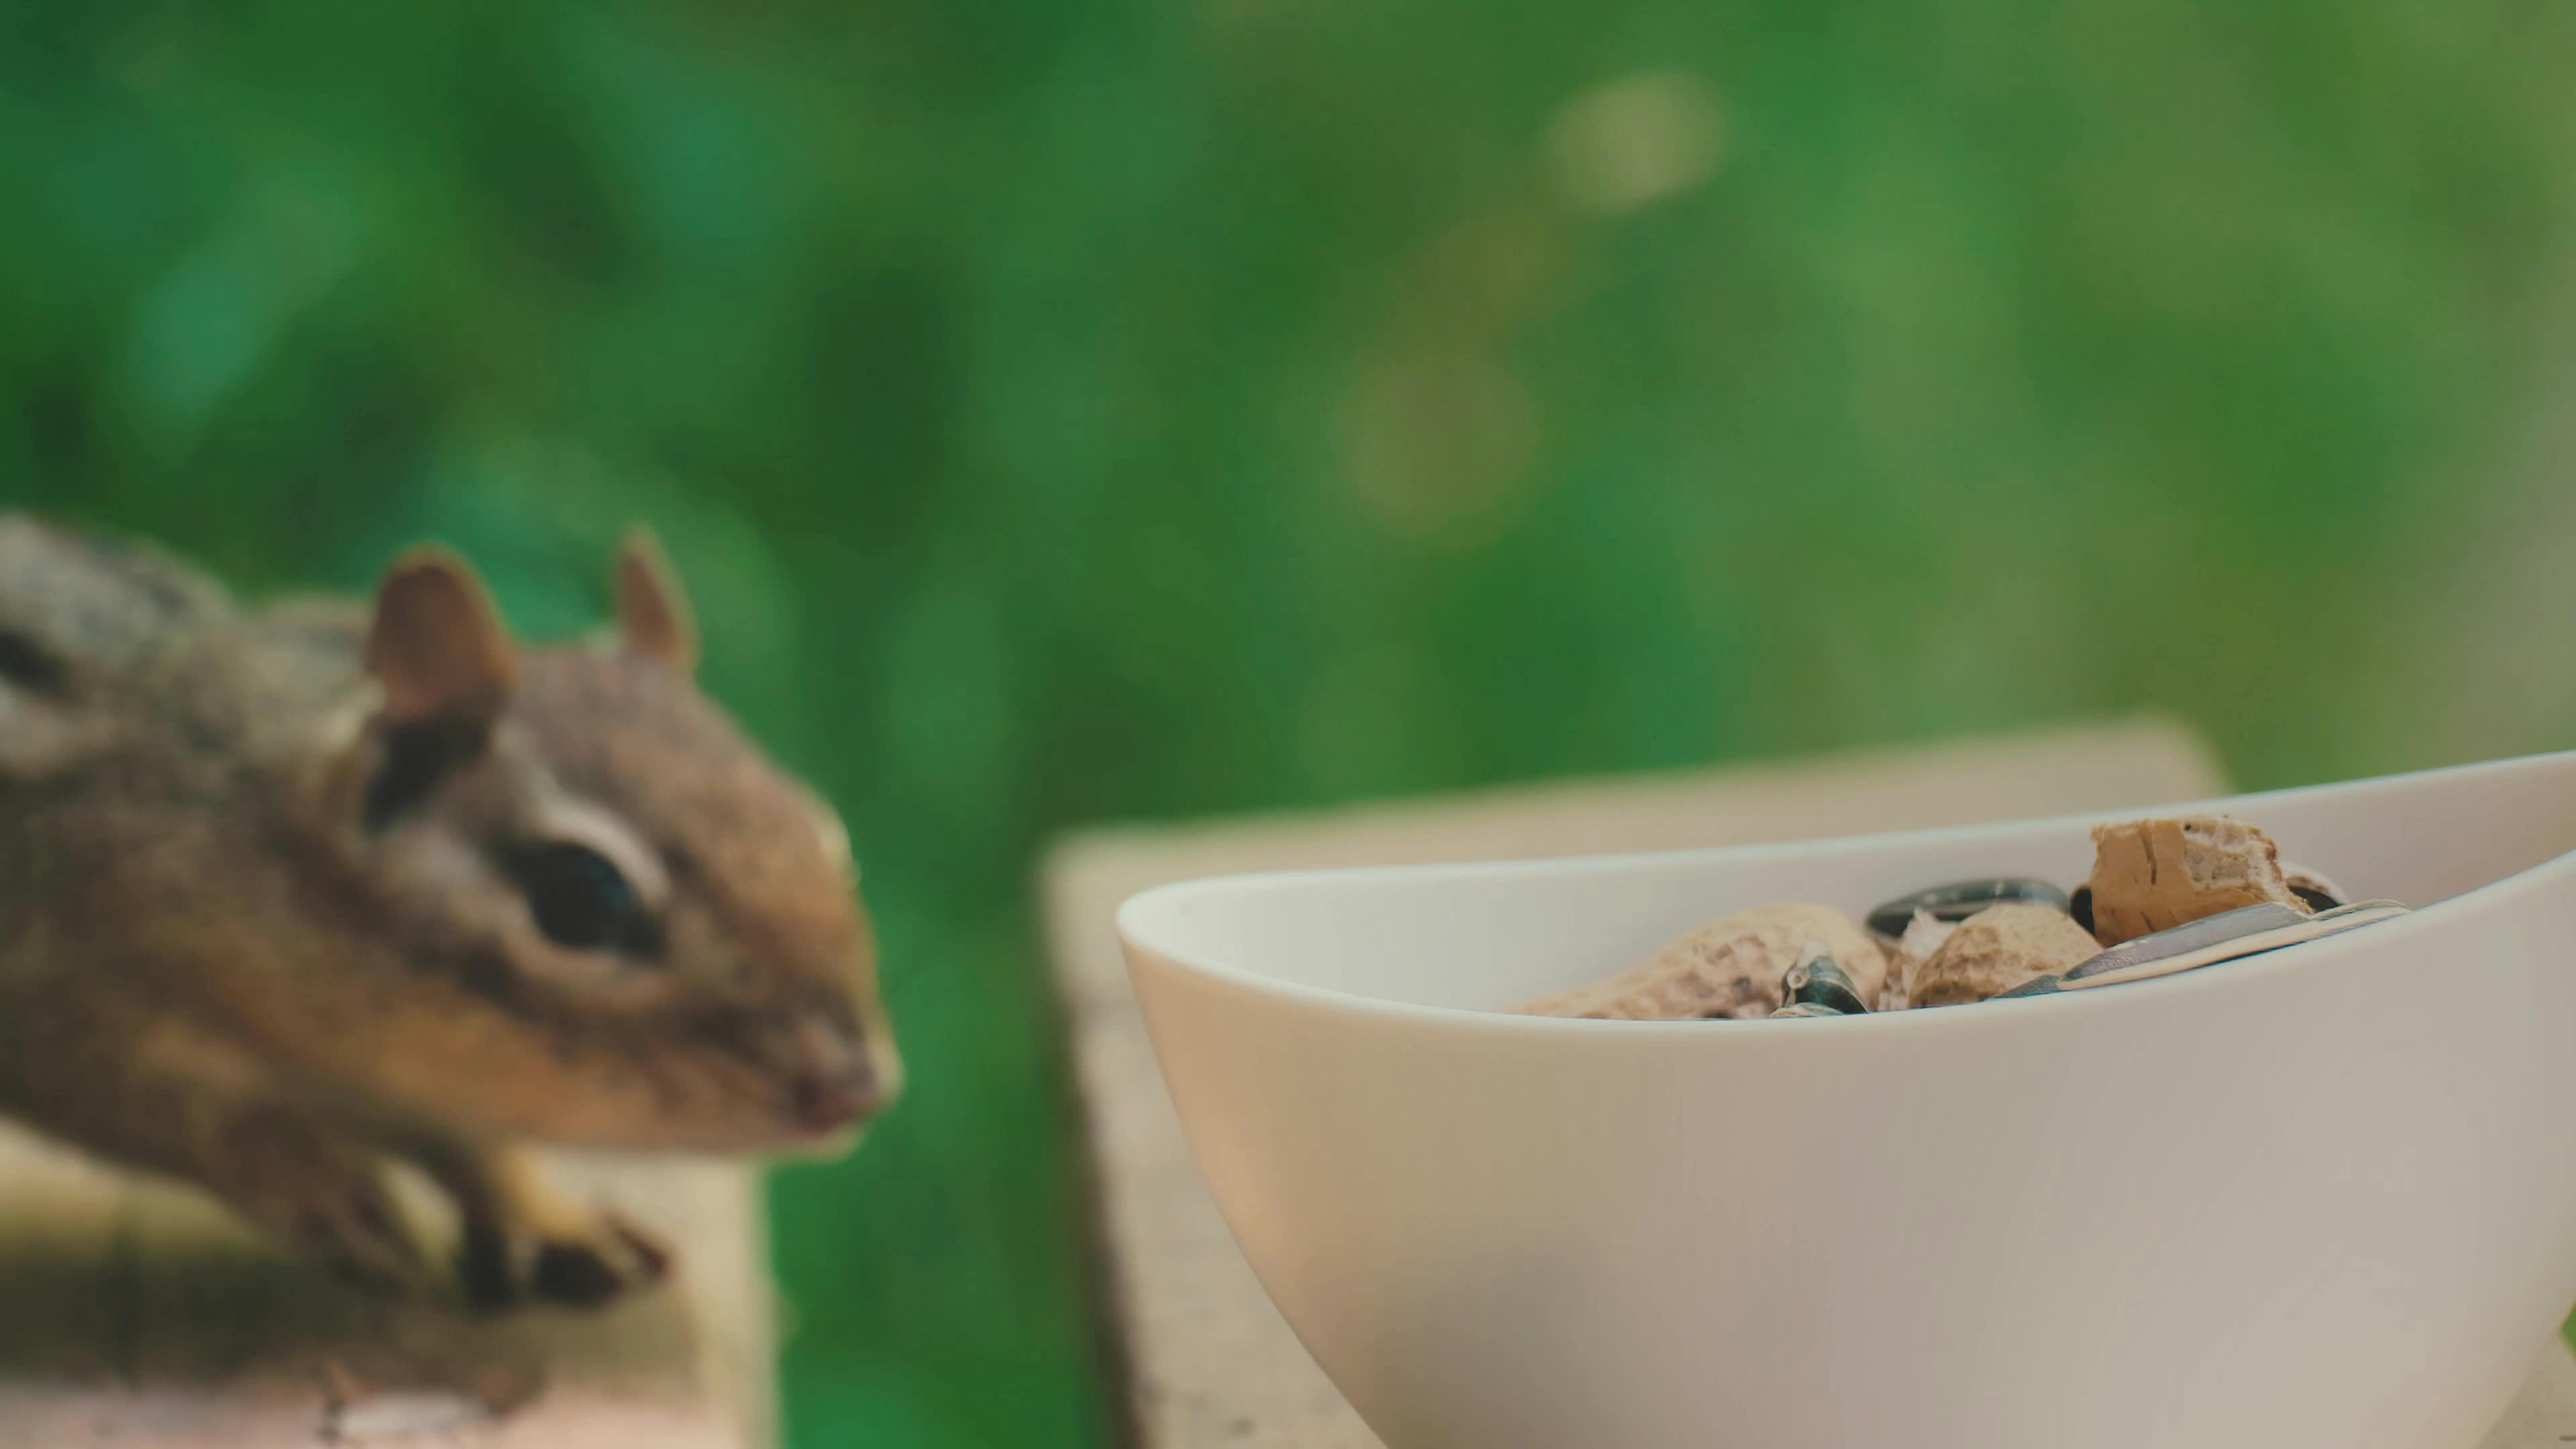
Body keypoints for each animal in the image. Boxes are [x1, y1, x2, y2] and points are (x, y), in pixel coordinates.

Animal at [0, 514, 900, 1310]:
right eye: (583, 896)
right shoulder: (73, 999)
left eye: (820, 825)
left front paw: (555, 1217)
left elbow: (467, 1142)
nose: (854, 1089)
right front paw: (325, 1184)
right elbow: (189, 1117)